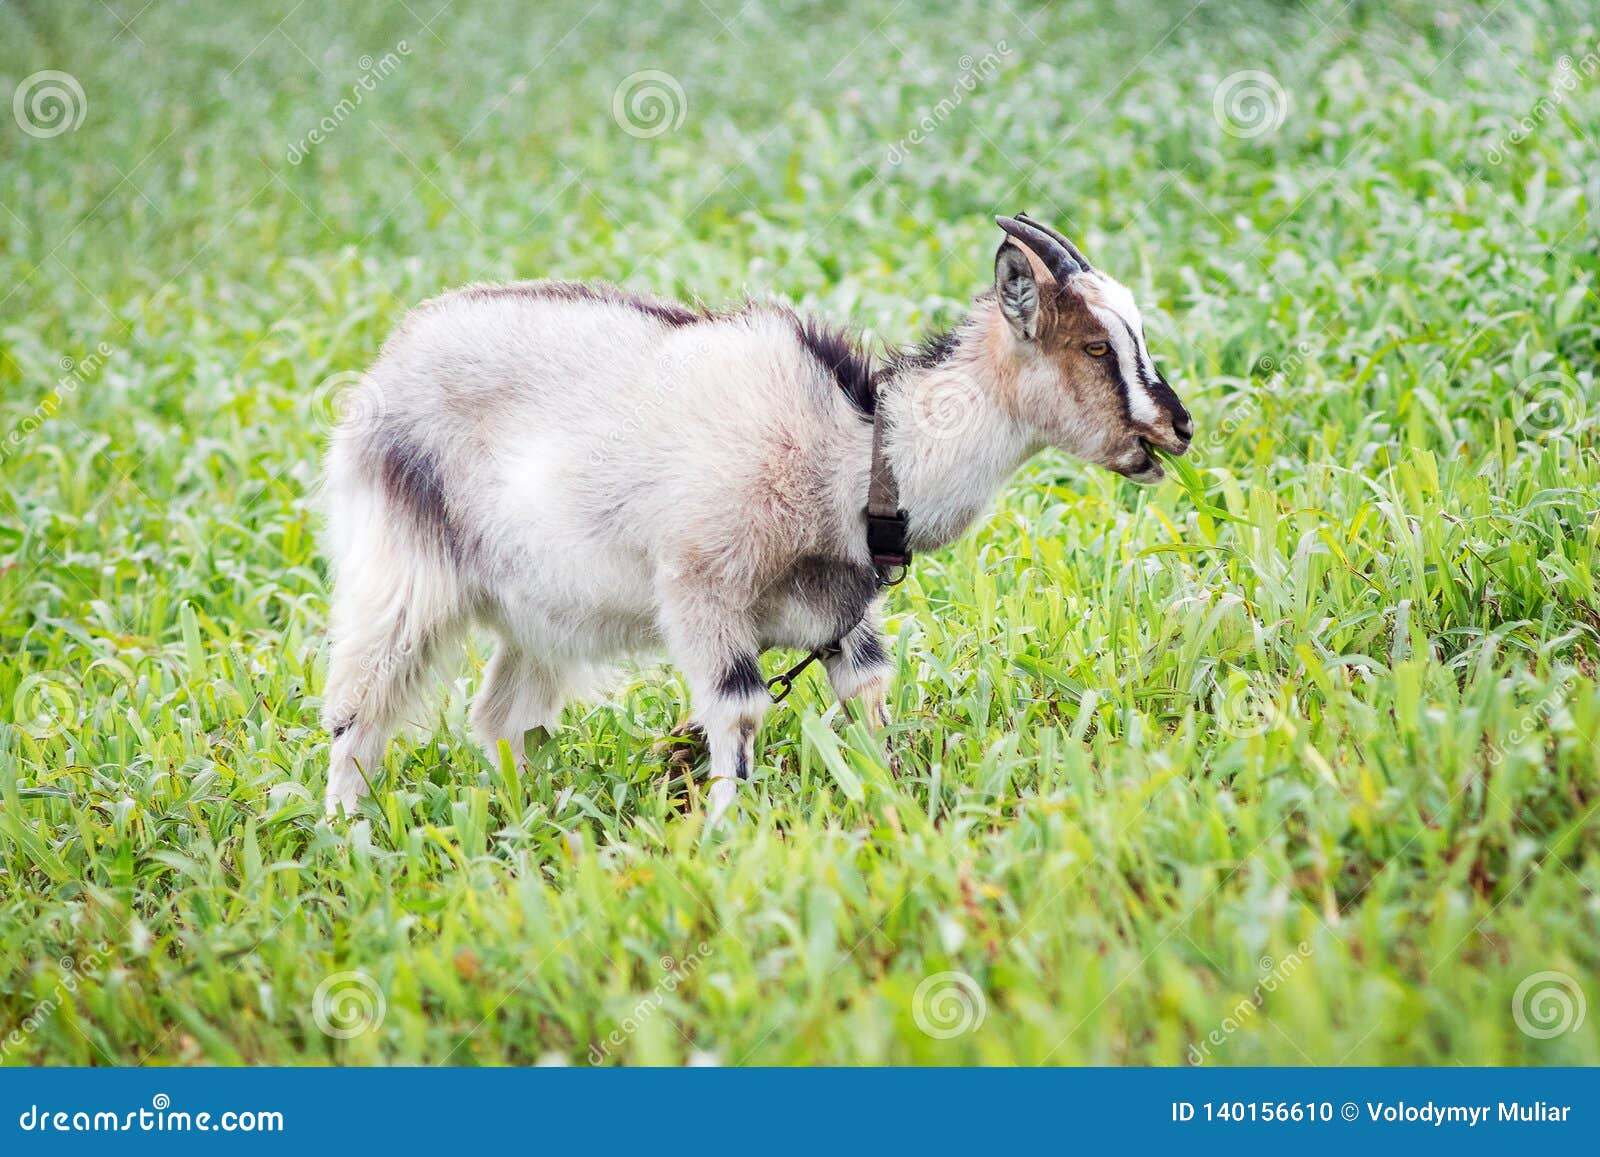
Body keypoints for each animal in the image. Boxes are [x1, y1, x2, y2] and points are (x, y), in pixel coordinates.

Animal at [320, 213, 1193, 818]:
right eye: (1093, 346)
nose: (1178, 427)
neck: (854, 446)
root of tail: (392, 358)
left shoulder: (842, 612)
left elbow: (868, 694)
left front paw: (893, 798)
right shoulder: (701, 589)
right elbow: (739, 710)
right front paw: (726, 835)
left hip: (539, 610)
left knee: (503, 715)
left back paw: (527, 811)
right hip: (399, 571)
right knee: (356, 712)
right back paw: (348, 837)